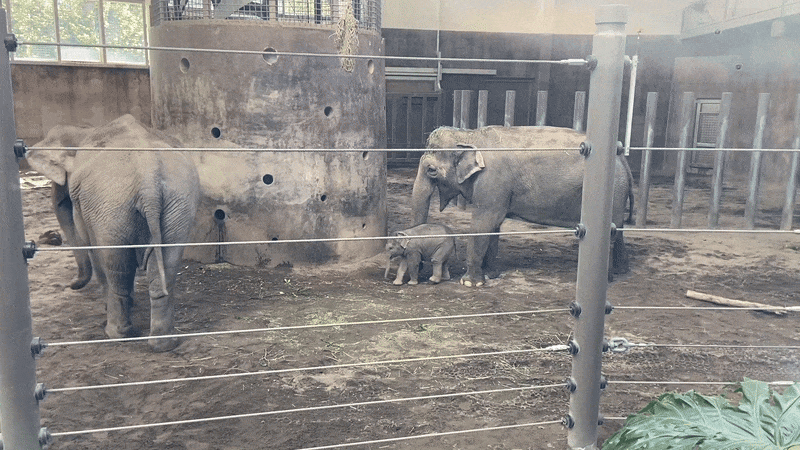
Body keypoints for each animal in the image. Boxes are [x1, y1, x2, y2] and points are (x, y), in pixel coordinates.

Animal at [26, 114, 200, 352]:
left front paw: (106, 307)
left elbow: (91, 246)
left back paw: (116, 333)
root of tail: (149, 179)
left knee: (117, 265)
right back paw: (162, 343)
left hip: (111, 206)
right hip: (178, 203)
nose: (71, 285)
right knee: (167, 262)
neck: (85, 129)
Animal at [411, 125, 633, 287]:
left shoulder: (492, 180)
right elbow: (494, 226)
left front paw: (470, 283)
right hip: (618, 194)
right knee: (618, 229)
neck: (470, 135)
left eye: (431, 170)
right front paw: (491, 275)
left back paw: (607, 279)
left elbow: (483, 224)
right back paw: (622, 270)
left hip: (612, 190)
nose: (421, 275)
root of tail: (621, 155)